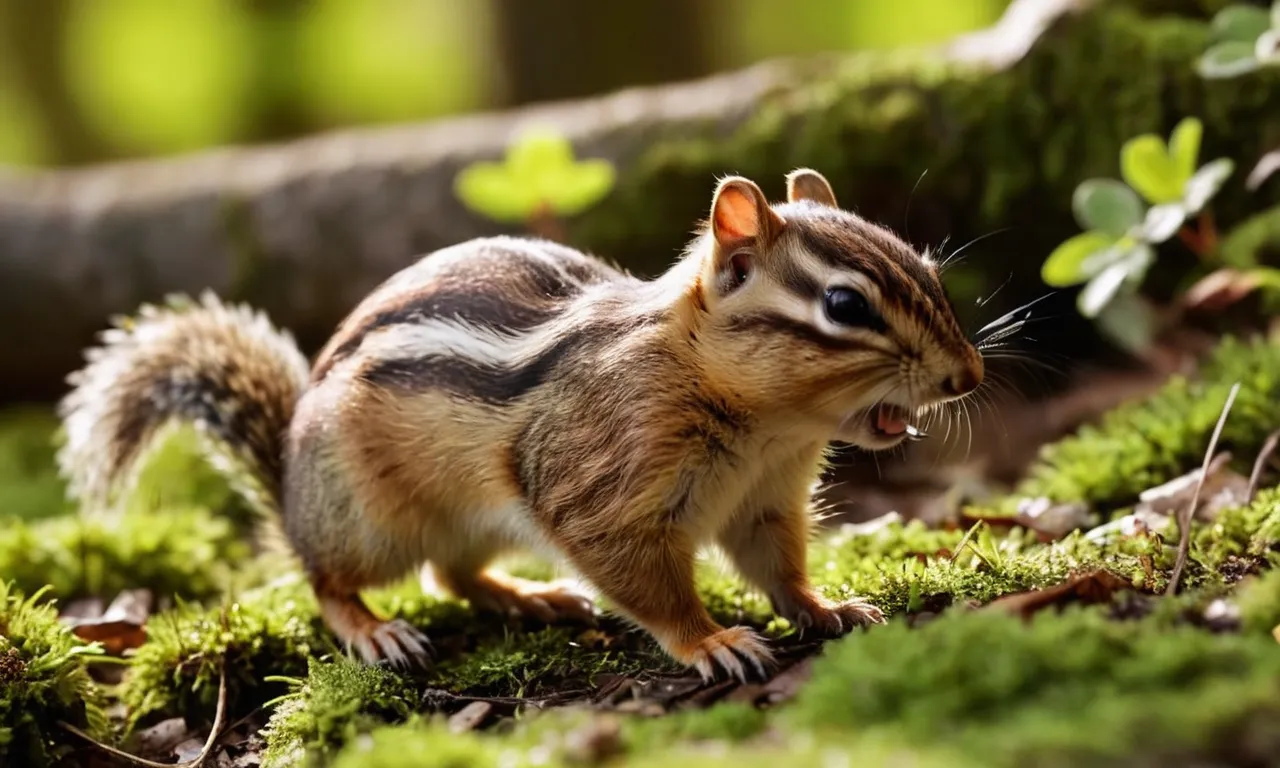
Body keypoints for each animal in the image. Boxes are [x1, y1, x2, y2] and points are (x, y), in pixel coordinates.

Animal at [56, 168, 983, 681]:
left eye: (929, 270)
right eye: (845, 306)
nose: (967, 376)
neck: (767, 427)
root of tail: (289, 483)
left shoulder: (766, 500)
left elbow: (780, 567)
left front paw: (828, 608)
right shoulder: (601, 494)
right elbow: (649, 584)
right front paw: (712, 640)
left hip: (478, 523)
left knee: (454, 575)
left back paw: (534, 596)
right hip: (366, 520)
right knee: (330, 579)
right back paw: (377, 629)